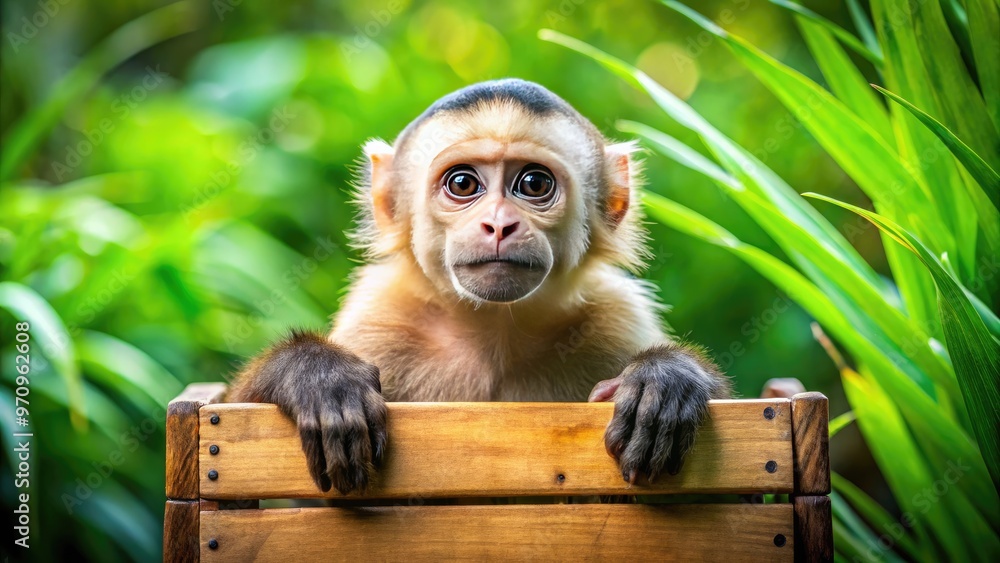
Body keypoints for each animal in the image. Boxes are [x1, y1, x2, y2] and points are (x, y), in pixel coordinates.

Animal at [229, 78, 731, 495]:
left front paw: (665, 378)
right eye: (463, 183)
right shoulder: (379, 318)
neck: (494, 331)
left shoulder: (616, 317)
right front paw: (317, 377)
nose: (499, 224)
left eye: (534, 183)